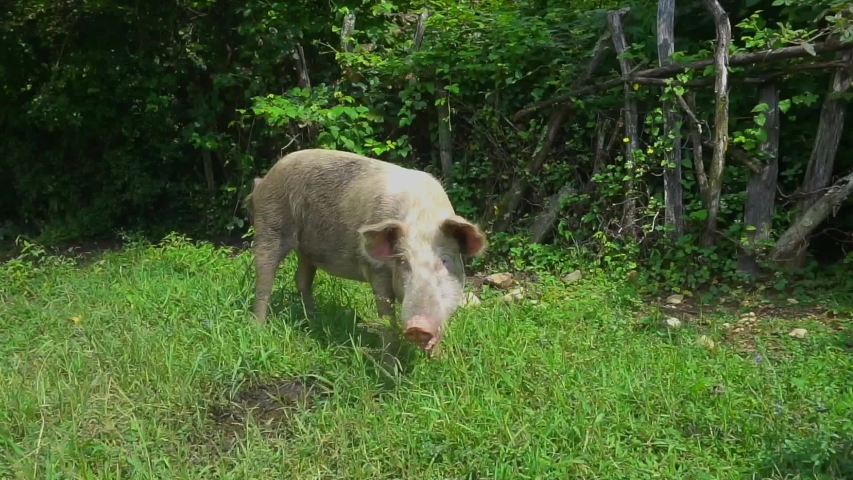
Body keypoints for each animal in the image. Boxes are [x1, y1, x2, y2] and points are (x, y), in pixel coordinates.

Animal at [244, 148, 487, 354]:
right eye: (402, 262)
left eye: (444, 261)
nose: (418, 326)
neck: (422, 218)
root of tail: (263, 181)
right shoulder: (376, 269)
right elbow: (386, 318)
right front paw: (390, 366)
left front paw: (435, 358)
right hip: (270, 225)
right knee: (264, 279)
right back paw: (258, 330)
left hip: (306, 249)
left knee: (301, 279)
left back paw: (314, 320)